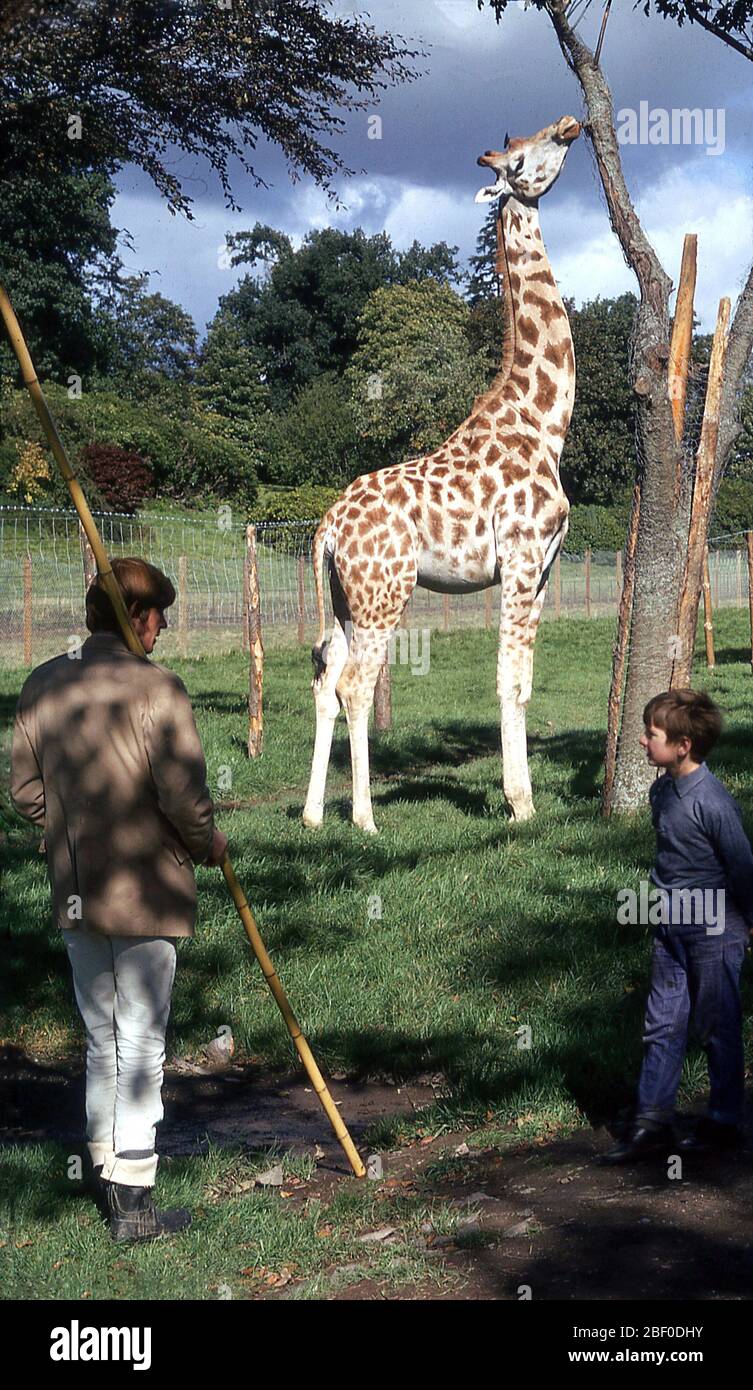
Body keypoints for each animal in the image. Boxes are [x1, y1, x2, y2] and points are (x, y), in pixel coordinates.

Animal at [302, 115, 580, 834]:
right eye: (521, 158)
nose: (573, 124)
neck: (546, 420)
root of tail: (325, 529)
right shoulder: (519, 558)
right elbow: (506, 678)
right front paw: (518, 806)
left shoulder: (543, 568)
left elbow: (524, 681)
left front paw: (525, 800)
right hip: (383, 592)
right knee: (355, 684)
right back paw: (364, 819)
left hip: (343, 596)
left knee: (325, 677)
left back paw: (313, 815)